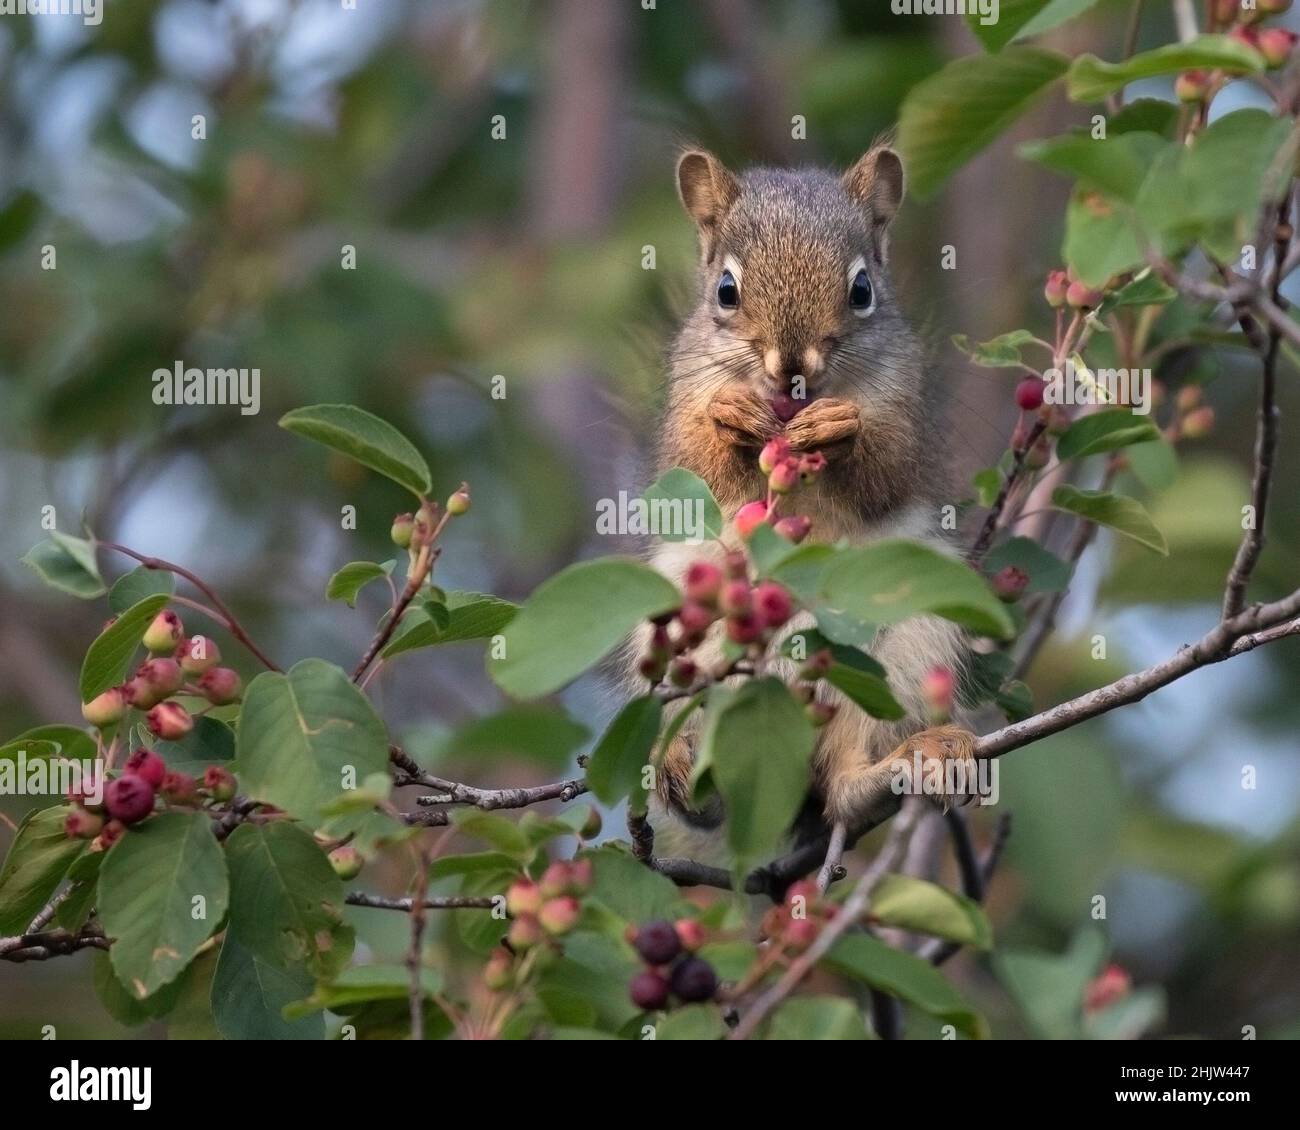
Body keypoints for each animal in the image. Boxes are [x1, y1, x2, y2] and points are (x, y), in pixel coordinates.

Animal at [634, 140, 977, 854]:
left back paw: (919, 757)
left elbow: (887, 470)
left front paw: (840, 428)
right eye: (725, 291)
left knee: (846, 778)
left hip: (905, 647)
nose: (790, 369)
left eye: (862, 291)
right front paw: (731, 416)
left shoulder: (906, 402)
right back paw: (678, 763)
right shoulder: (684, 397)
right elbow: (694, 461)